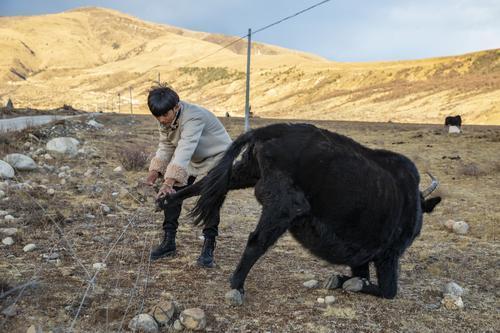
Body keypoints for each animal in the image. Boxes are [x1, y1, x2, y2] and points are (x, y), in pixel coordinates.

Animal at [161, 122, 442, 300]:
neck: (411, 200)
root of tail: (269, 131)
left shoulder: (361, 257)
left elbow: (362, 277)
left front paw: (341, 281)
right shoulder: (388, 256)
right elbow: (388, 291)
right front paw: (347, 283)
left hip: (246, 173)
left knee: (204, 184)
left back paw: (167, 200)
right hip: (282, 208)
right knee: (256, 241)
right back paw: (237, 285)